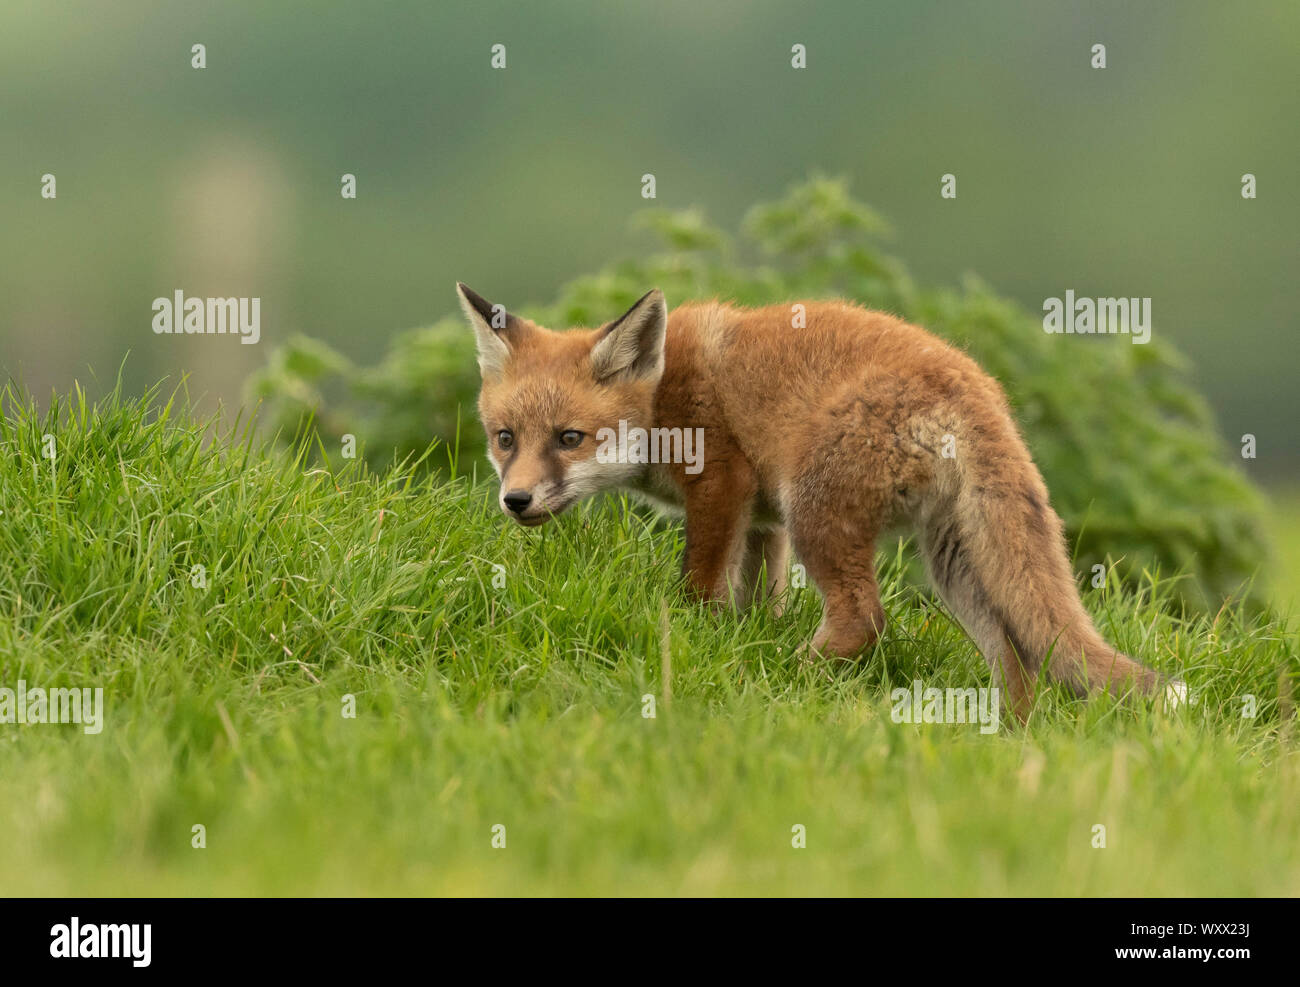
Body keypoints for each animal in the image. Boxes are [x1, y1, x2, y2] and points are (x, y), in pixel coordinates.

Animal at [456, 282, 1186, 721]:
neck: (663, 396)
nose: (516, 500)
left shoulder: (722, 483)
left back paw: (787, 681)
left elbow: (699, 589)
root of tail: (977, 389)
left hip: (819, 515)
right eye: (504, 438)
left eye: (569, 438)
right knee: (1016, 656)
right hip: (950, 561)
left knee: (865, 620)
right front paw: (740, 637)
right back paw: (1011, 738)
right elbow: (759, 601)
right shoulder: (763, 522)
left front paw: (699, 645)